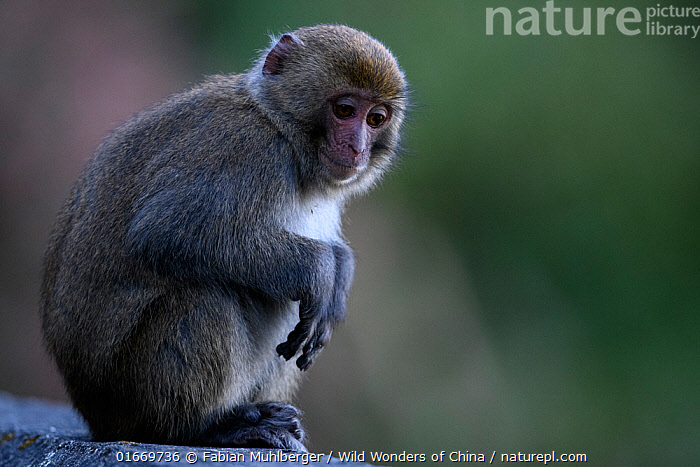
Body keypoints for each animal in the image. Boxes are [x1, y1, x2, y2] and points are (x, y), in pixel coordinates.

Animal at [39, 24, 407, 451]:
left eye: (376, 118)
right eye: (345, 110)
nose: (357, 147)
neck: (277, 124)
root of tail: (97, 419)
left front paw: (342, 270)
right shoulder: (247, 149)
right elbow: (164, 228)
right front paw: (320, 270)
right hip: (129, 395)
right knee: (205, 297)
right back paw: (204, 427)